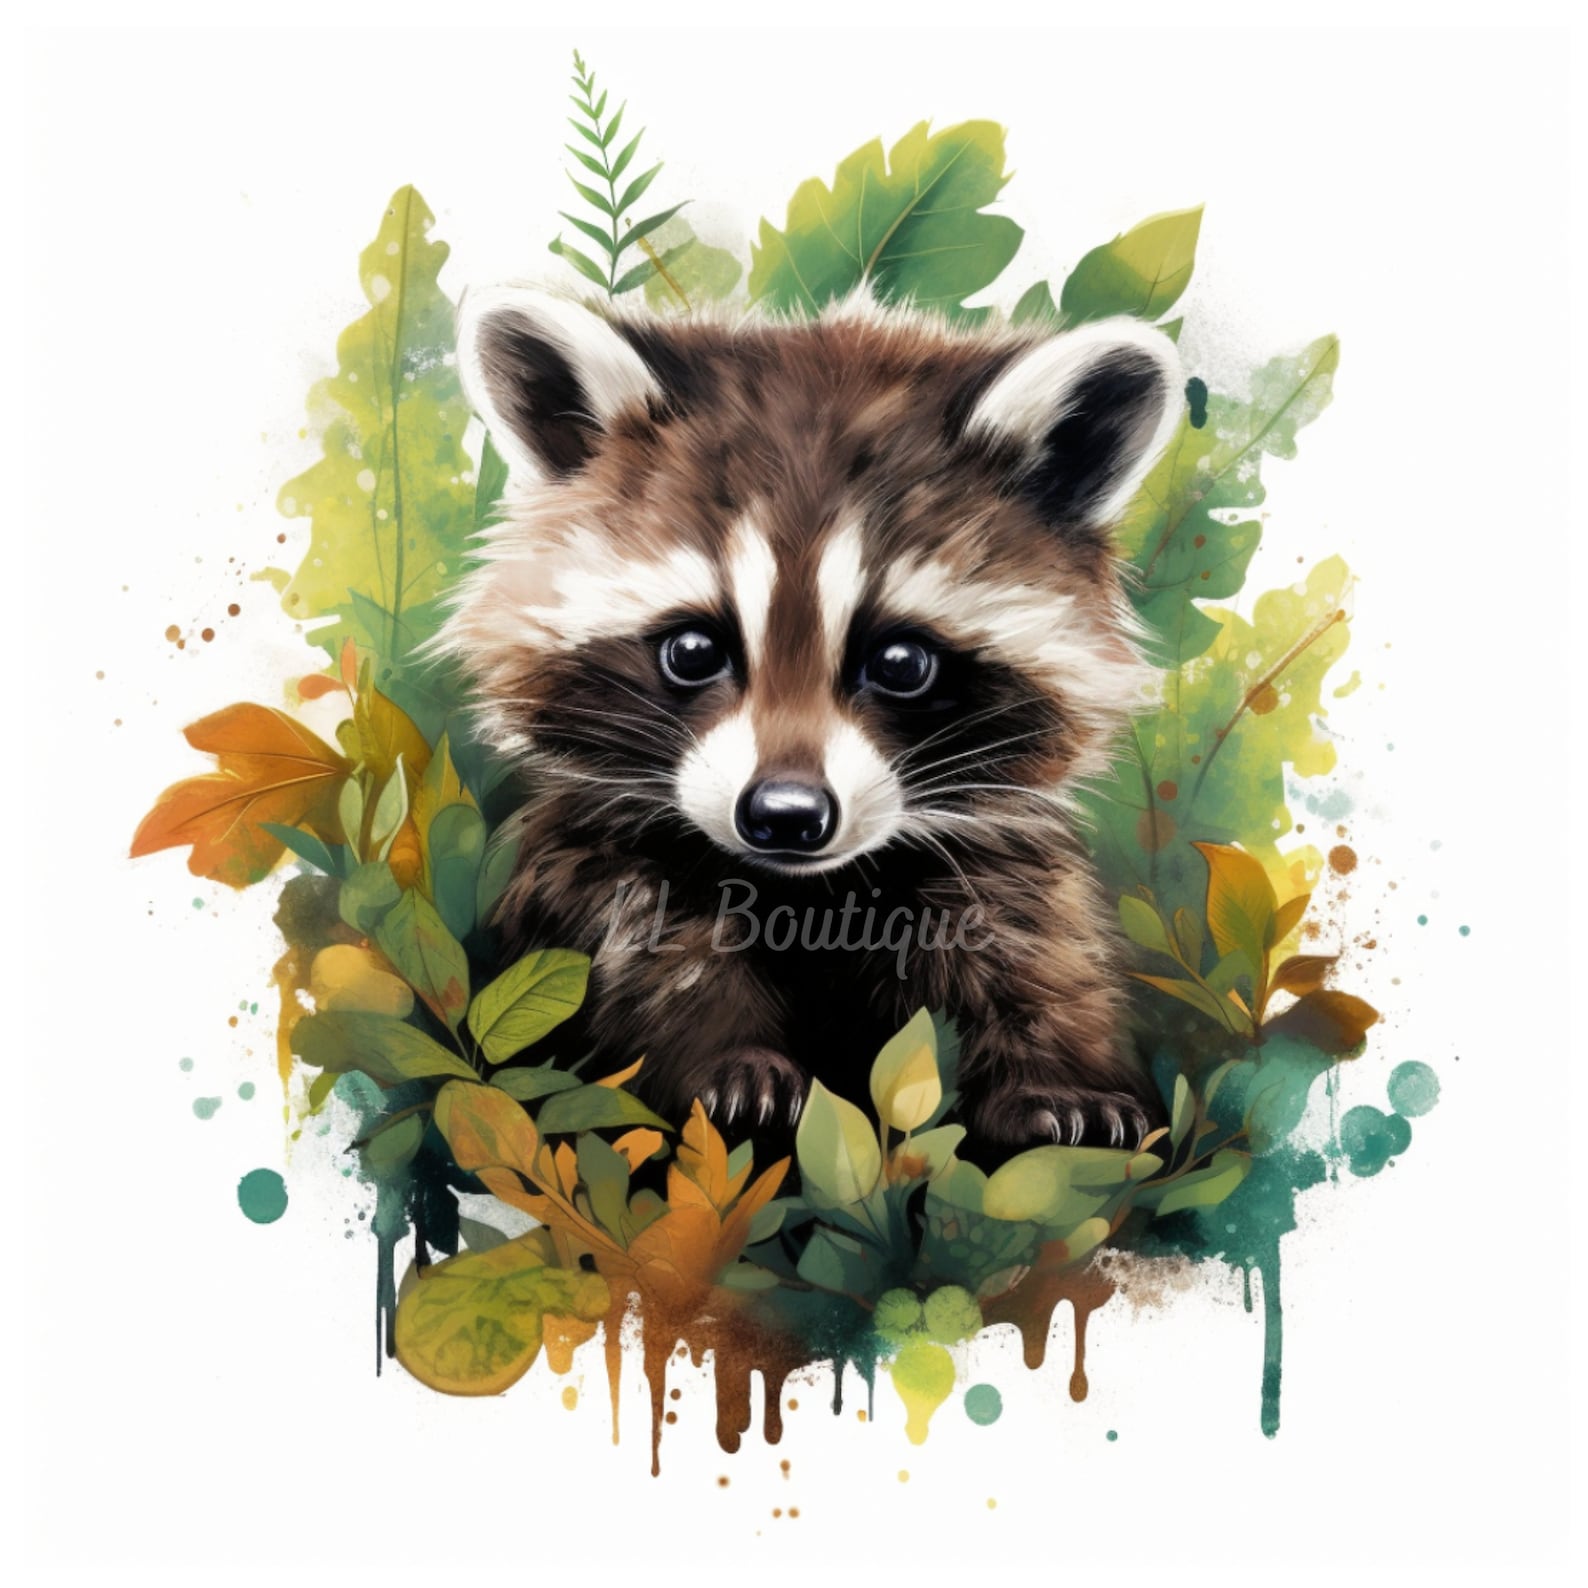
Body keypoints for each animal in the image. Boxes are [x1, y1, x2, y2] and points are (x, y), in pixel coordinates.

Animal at [438, 285, 1182, 1160]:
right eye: (694, 650)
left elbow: (1031, 947)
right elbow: (644, 952)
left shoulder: (992, 853)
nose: (785, 815)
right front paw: (727, 1061)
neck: (808, 890)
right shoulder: (601, 853)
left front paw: (1053, 1079)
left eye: (902, 663)